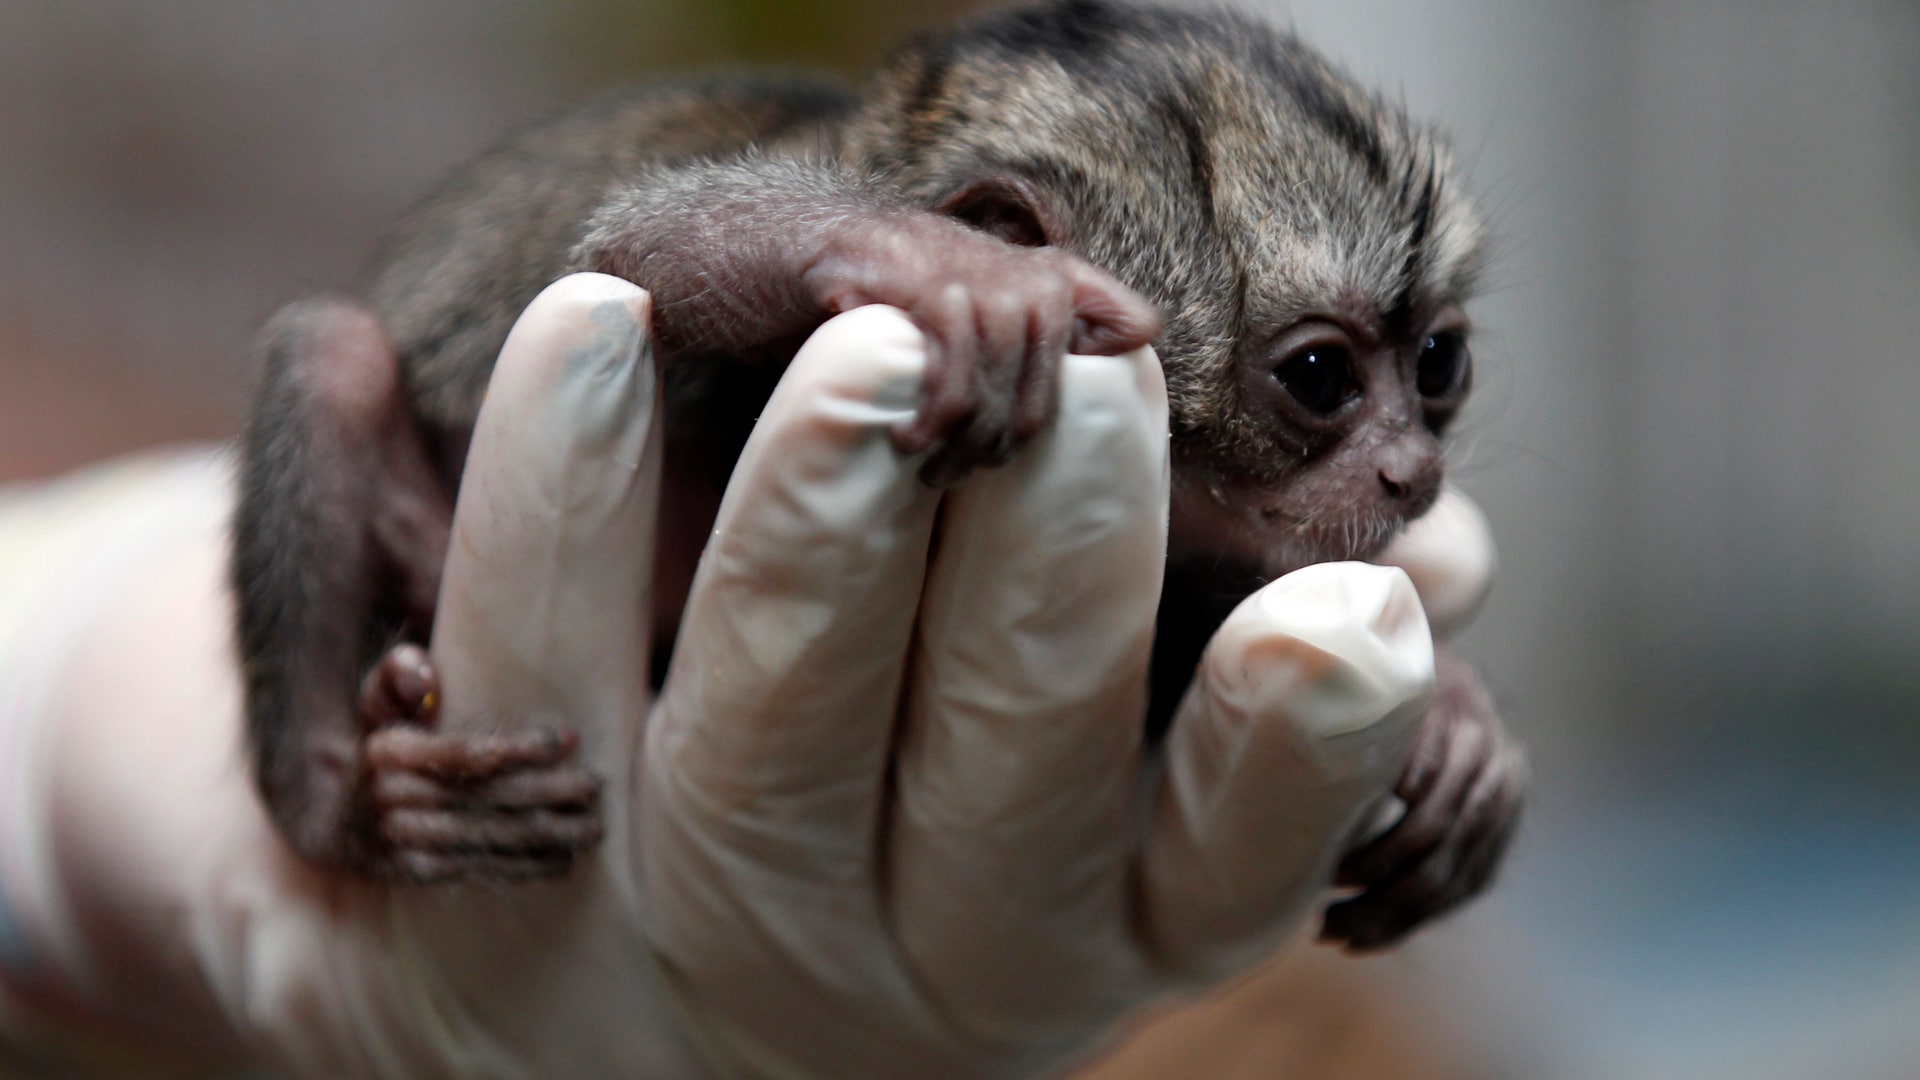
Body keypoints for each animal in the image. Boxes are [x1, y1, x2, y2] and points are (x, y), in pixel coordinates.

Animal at [232, 0, 1524, 952]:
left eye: (1440, 363)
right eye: (1320, 376)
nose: (1413, 469)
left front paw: (1454, 721)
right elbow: (633, 251)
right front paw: (964, 278)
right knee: (332, 356)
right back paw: (349, 807)